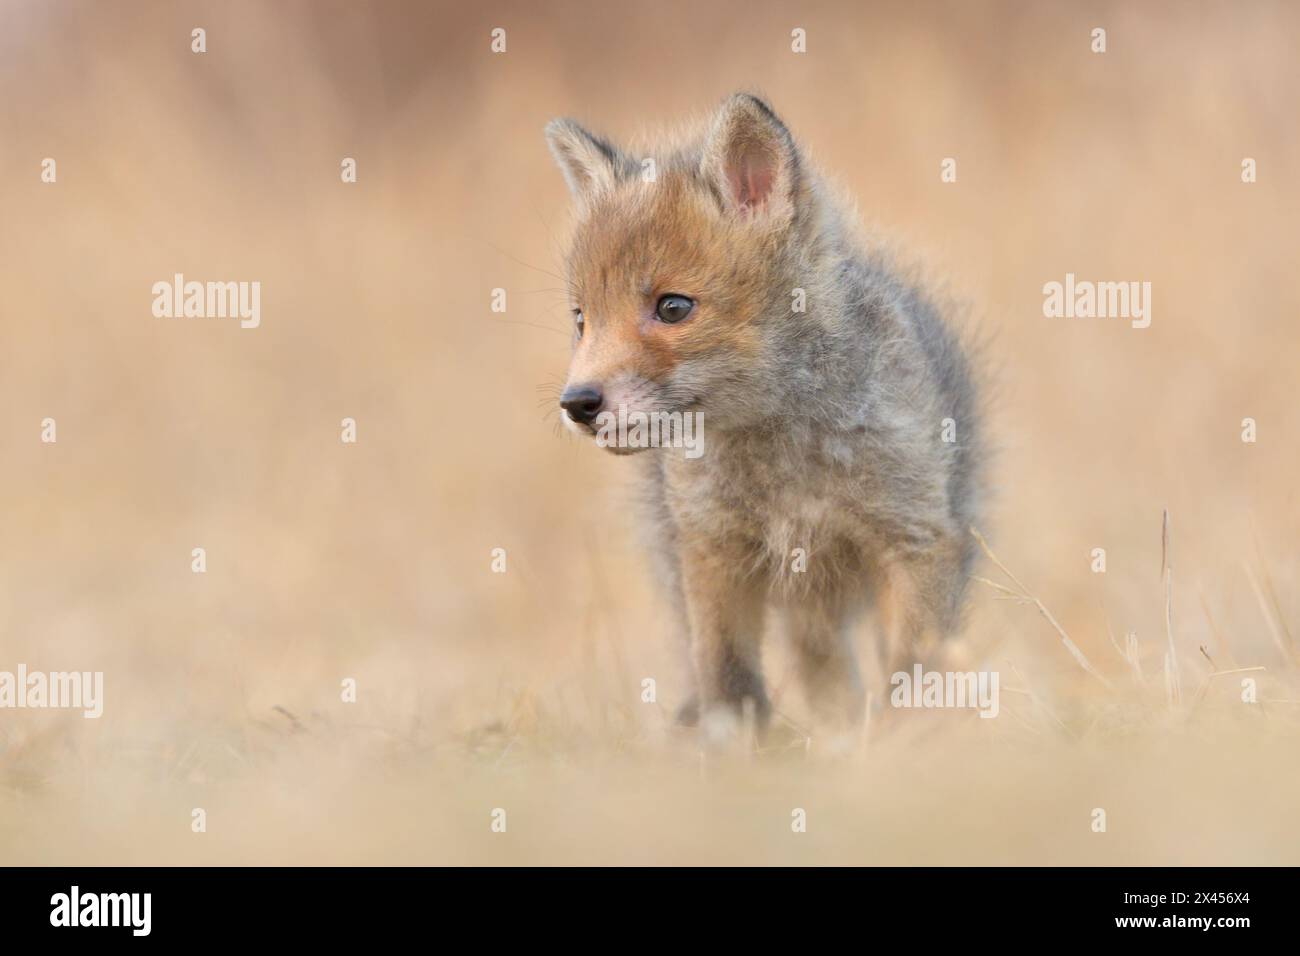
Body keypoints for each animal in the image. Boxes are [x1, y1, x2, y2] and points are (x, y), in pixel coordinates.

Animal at [545, 93, 984, 741]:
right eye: (582, 319)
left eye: (672, 308)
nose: (578, 403)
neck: (781, 456)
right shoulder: (712, 549)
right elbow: (726, 671)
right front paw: (738, 746)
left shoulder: (915, 538)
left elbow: (915, 668)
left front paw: (910, 741)